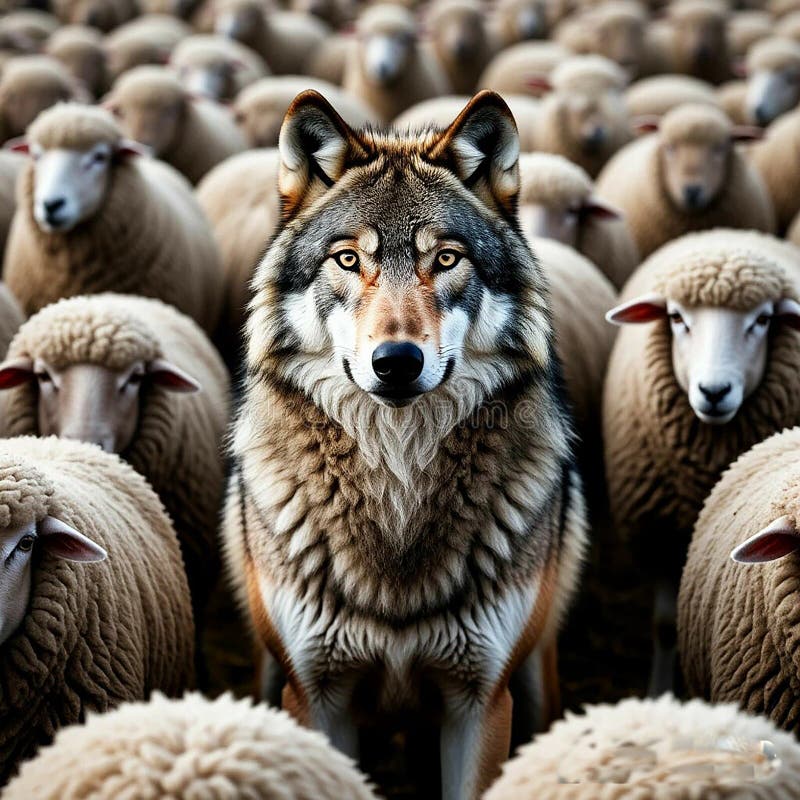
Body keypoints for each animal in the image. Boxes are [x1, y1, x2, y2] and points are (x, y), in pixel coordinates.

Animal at [223, 89, 588, 800]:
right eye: (348, 259)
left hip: (535, 672)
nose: (396, 361)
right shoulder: (316, 695)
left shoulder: (482, 701)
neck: (398, 486)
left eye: (445, 259)